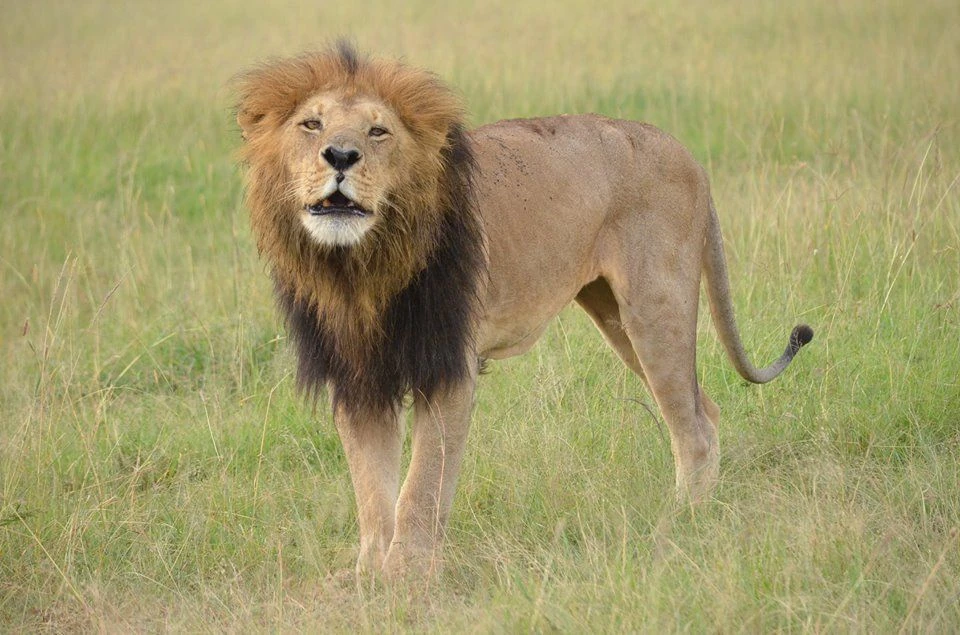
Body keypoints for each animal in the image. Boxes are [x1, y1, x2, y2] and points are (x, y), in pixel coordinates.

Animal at [234, 42, 813, 580]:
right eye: (311, 124)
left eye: (379, 132)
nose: (339, 156)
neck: (361, 267)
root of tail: (685, 152)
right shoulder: (359, 375)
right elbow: (373, 491)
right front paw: (369, 581)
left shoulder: (451, 367)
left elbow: (421, 487)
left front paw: (407, 581)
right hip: (614, 316)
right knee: (704, 410)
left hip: (656, 306)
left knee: (692, 426)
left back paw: (678, 526)